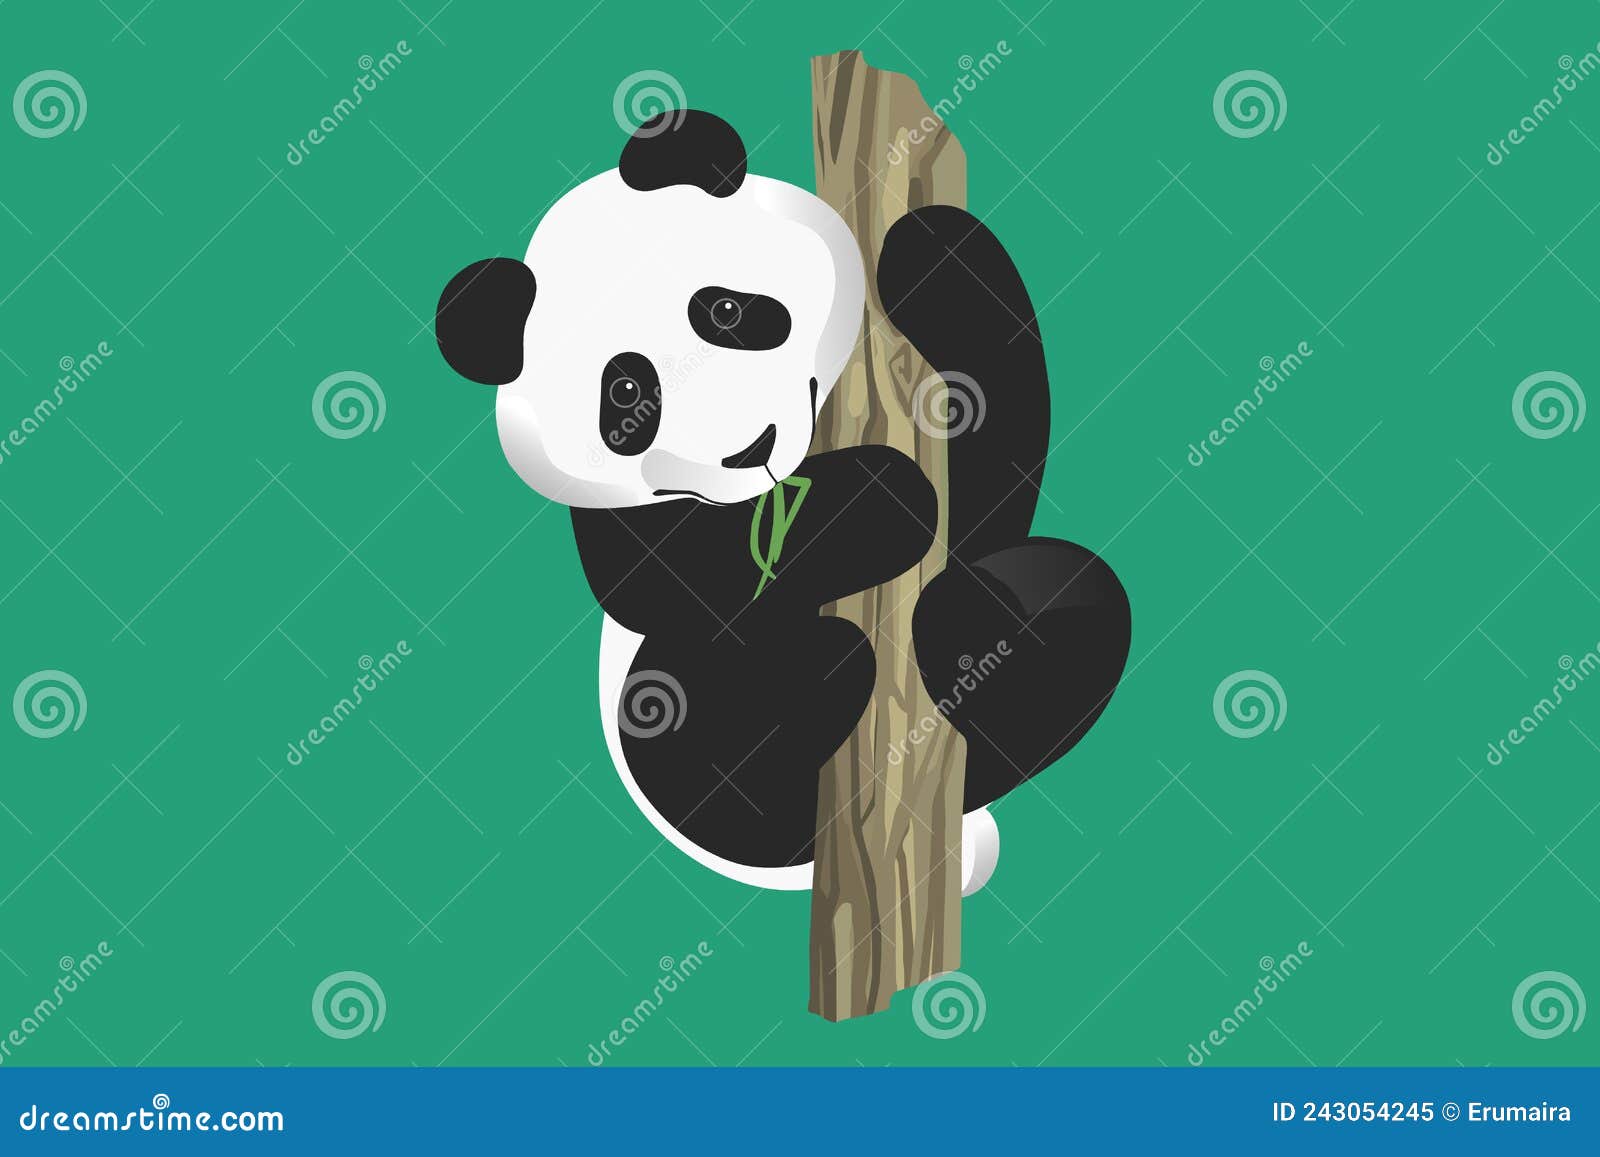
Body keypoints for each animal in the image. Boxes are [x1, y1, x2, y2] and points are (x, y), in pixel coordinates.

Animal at [435, 109, 1131, 896]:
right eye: (626, 391)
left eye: (725, 309)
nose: (749, 449)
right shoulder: (616, 517)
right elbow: (666, 582)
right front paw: (882, 499)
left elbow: (996, 460)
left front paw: (931, 251)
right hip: (685, 770)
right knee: (689, 708)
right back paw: (822, 675)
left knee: (1071, 603)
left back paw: (982, 631)